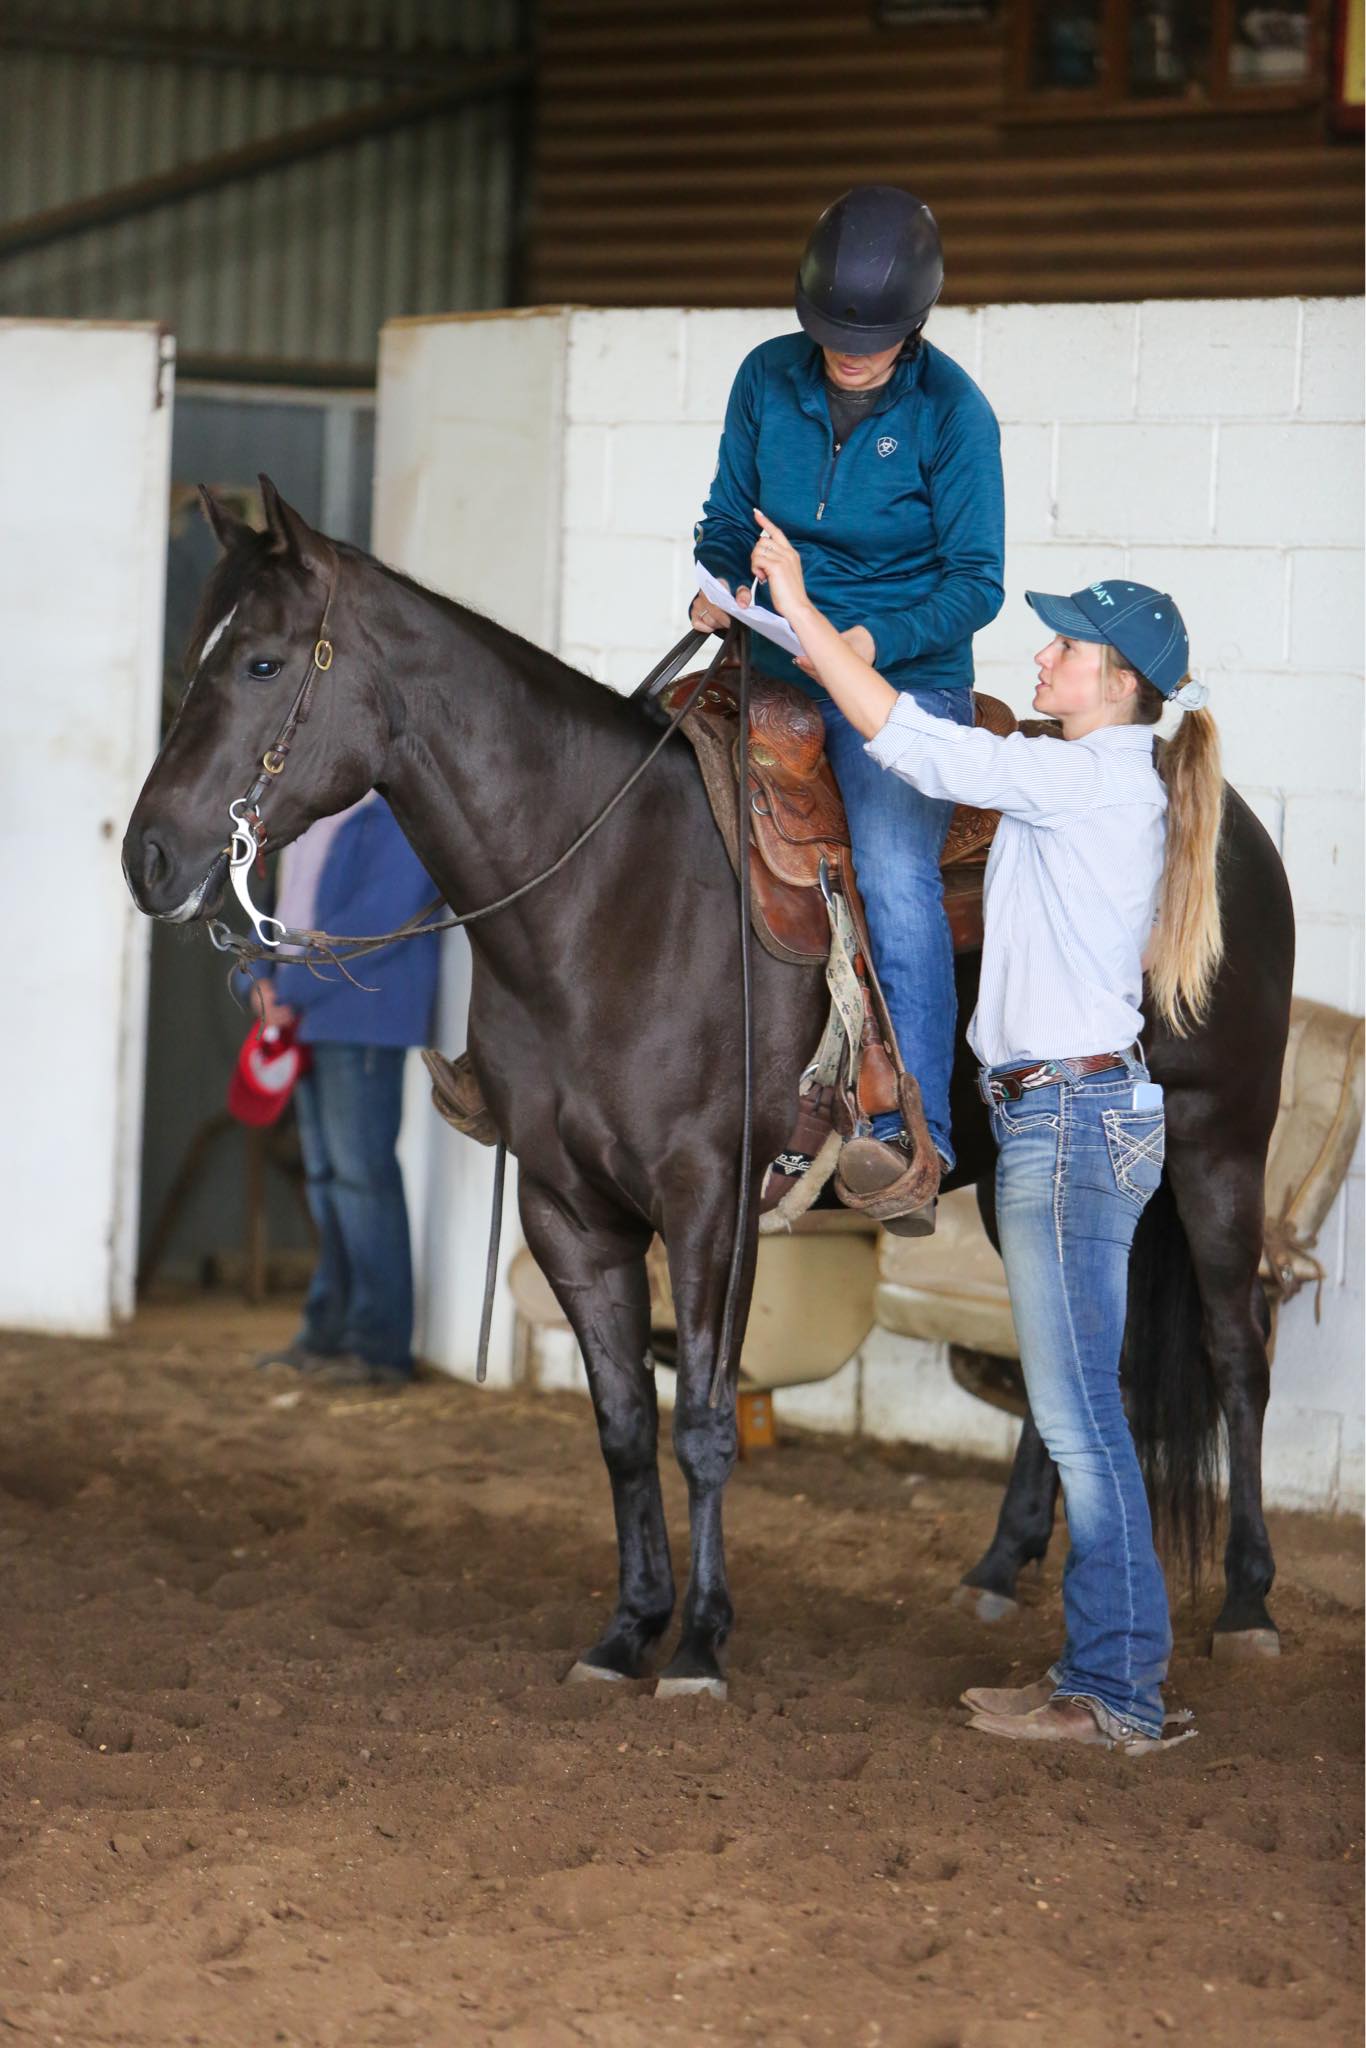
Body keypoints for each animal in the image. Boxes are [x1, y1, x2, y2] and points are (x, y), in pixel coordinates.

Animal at [122, 481, 1294, 1694]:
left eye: (260, 662)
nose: (147, 857)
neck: (604, 894)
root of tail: (1227, 822)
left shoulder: (709, 1206)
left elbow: (703, 1422)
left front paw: (699, 1640)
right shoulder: (565, 1207)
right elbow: (623, 1427)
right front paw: (627, 1628)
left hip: (1216, 1147)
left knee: (1235, 1350)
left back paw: (1247, 1602)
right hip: (1034, 1173)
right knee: (1067, 1361)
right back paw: (997, 1567)